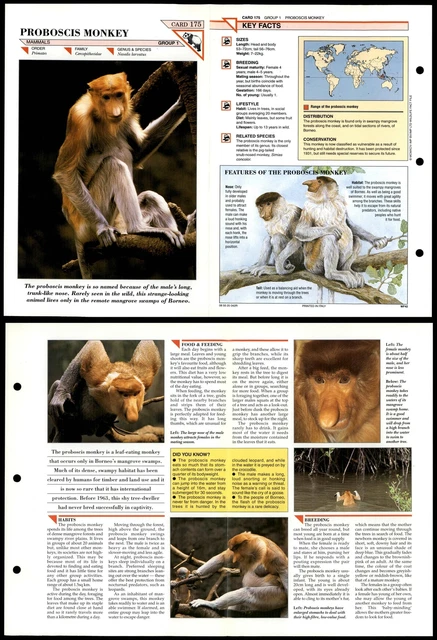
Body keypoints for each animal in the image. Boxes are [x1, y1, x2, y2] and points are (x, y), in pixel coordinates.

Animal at [53, 72, 187, 278]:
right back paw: (138, 228)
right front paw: (103, 229)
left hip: (118, 220)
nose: (116, 111)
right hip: (88, 223)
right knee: (113, 166)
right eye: (106, 97)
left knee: (150, 197)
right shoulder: (79, 118)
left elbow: (139, 150)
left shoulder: (127, 113)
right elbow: (64, 172)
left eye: (118, 95)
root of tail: (75, 230)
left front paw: (181, 103)